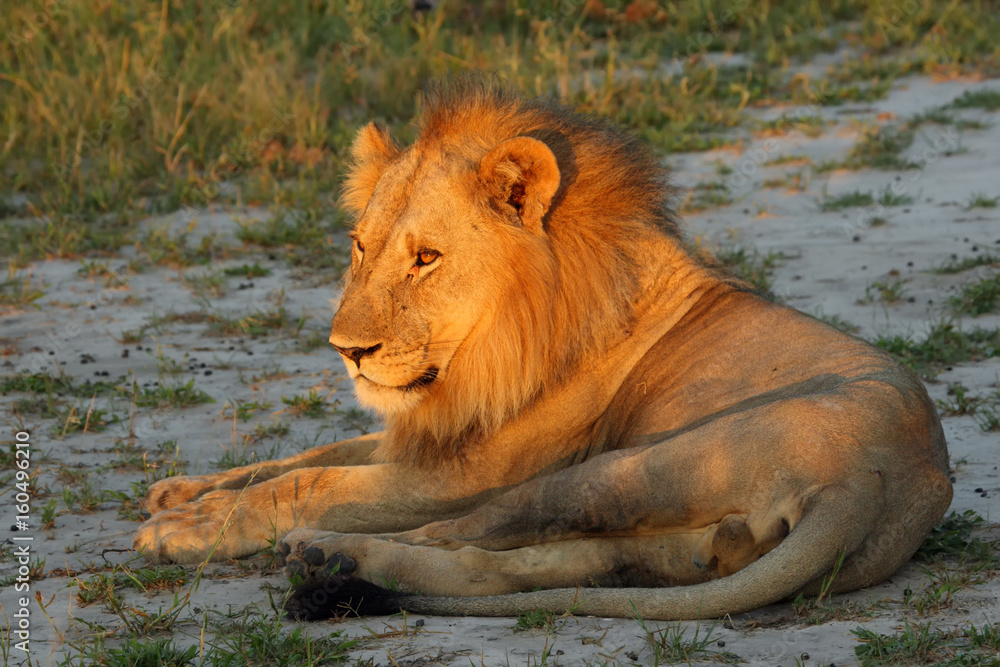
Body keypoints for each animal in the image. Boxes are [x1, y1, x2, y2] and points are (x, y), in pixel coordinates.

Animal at [133, 75, 952, 621]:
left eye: (425, 258)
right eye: (360, 247)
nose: (346, 349)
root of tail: (881, 484)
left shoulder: (457, 472)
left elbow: (313, 481)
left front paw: (189, 527)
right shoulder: (431, 434)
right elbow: (312, 453)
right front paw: (185, 491)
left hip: (613, 470)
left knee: (460, 534)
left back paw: (327, 554)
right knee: (520, 566)